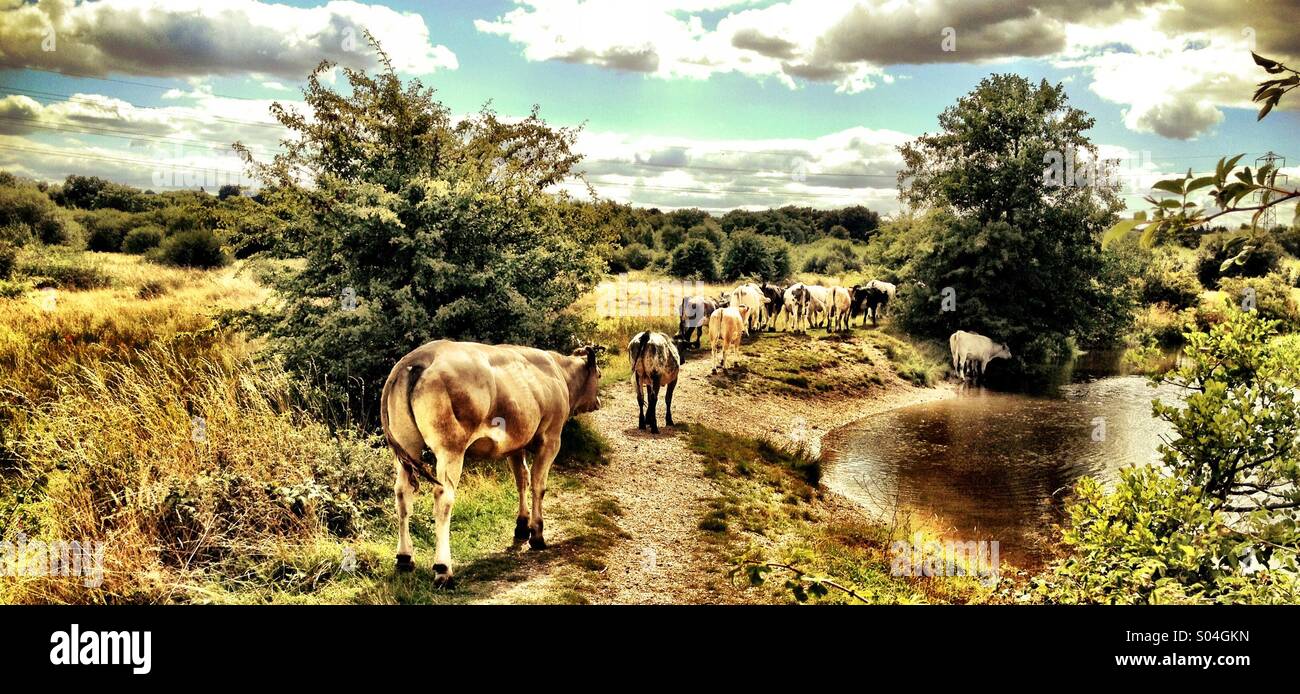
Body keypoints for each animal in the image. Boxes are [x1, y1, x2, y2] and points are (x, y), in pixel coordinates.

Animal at [380, 340, 605, 586]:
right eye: (599, 375)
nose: (598, 402)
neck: (558, 373)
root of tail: (420, 355)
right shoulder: (551, 439)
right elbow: (538, 484)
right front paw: (537, 534)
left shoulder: (516, 444)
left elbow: (521, 479)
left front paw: (521, 526)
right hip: (450, 449)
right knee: (443, 499)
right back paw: (443, 569)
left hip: (407, 446)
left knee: (402, 494)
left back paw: (404, 558)